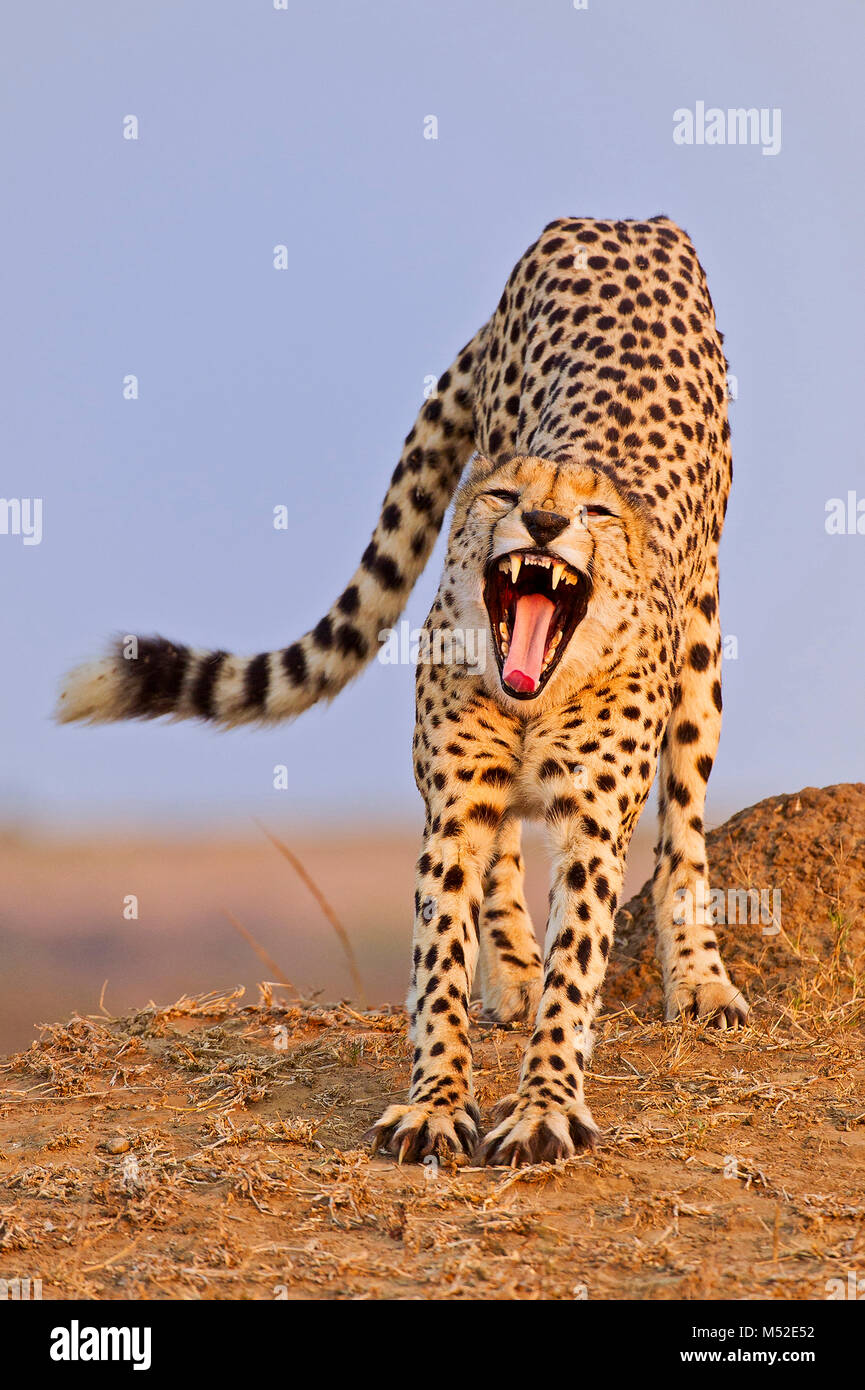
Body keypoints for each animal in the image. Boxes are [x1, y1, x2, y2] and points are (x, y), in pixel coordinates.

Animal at [57, 215, 749, 1167]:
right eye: (504, 495)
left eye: (595, 514)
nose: (543, 523)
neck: (532, 693)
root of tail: (616, 217)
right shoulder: (453, 804)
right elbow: (438, 956)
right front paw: (436, 1102)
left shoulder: (592, 822)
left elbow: (577, 964)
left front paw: (544, 1106)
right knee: (504, 856)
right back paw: (513, 973)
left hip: (704, 653)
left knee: (682, 823)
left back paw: (701, 980)